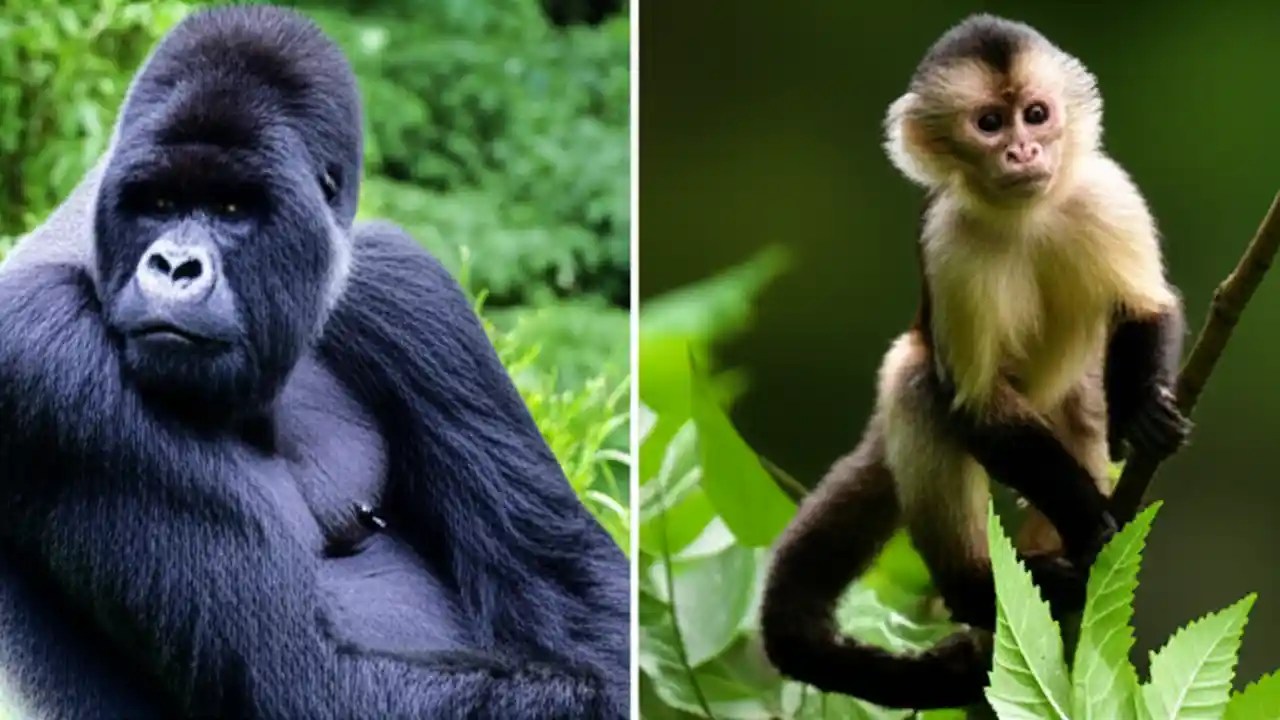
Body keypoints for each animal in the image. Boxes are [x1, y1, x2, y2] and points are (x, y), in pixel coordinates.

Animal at [759, 14, 1190, 710]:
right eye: (989, 124)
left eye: (1036, 115)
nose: (1023, 152)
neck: (1027, 216)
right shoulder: (948, 242)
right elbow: (977, 408)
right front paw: (1085, 520)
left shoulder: (1108, 190)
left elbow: (1147, 307)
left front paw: (1145, 410)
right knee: (918, 386)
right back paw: (987, 590)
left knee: (1081, 412)